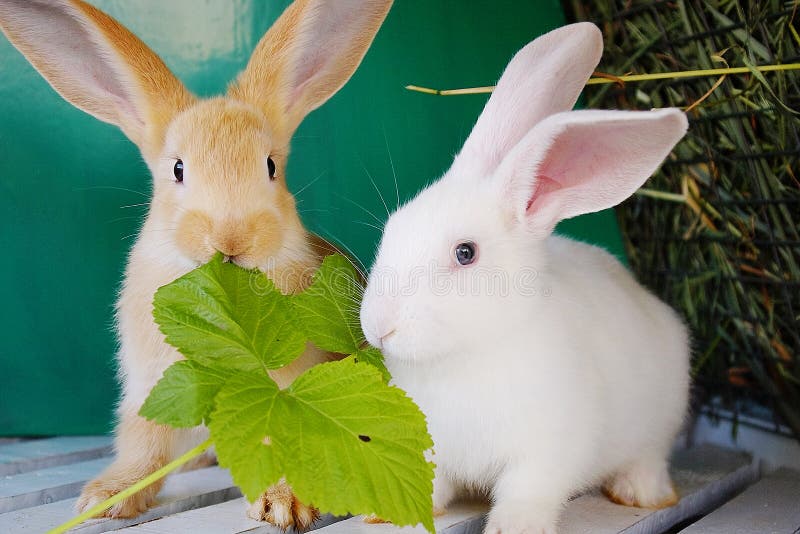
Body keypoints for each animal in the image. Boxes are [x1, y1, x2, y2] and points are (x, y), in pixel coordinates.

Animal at [0, 0, 392, 528]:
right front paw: (106, 498)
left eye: (270, 166)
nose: (231, 239)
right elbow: (143, 445)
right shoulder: (149, 384)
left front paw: (283, 504)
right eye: (178, 169)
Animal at [359, 22, 690, 534]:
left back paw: (638, 493)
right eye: (392, 227)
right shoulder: (432, 449)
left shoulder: (546, 454)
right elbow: (430, 484)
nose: (378, 326)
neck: (465, 359)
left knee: (648, 458)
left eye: (465, 253)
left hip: (661, 417)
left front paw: (513, 527)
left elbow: (527, 493)